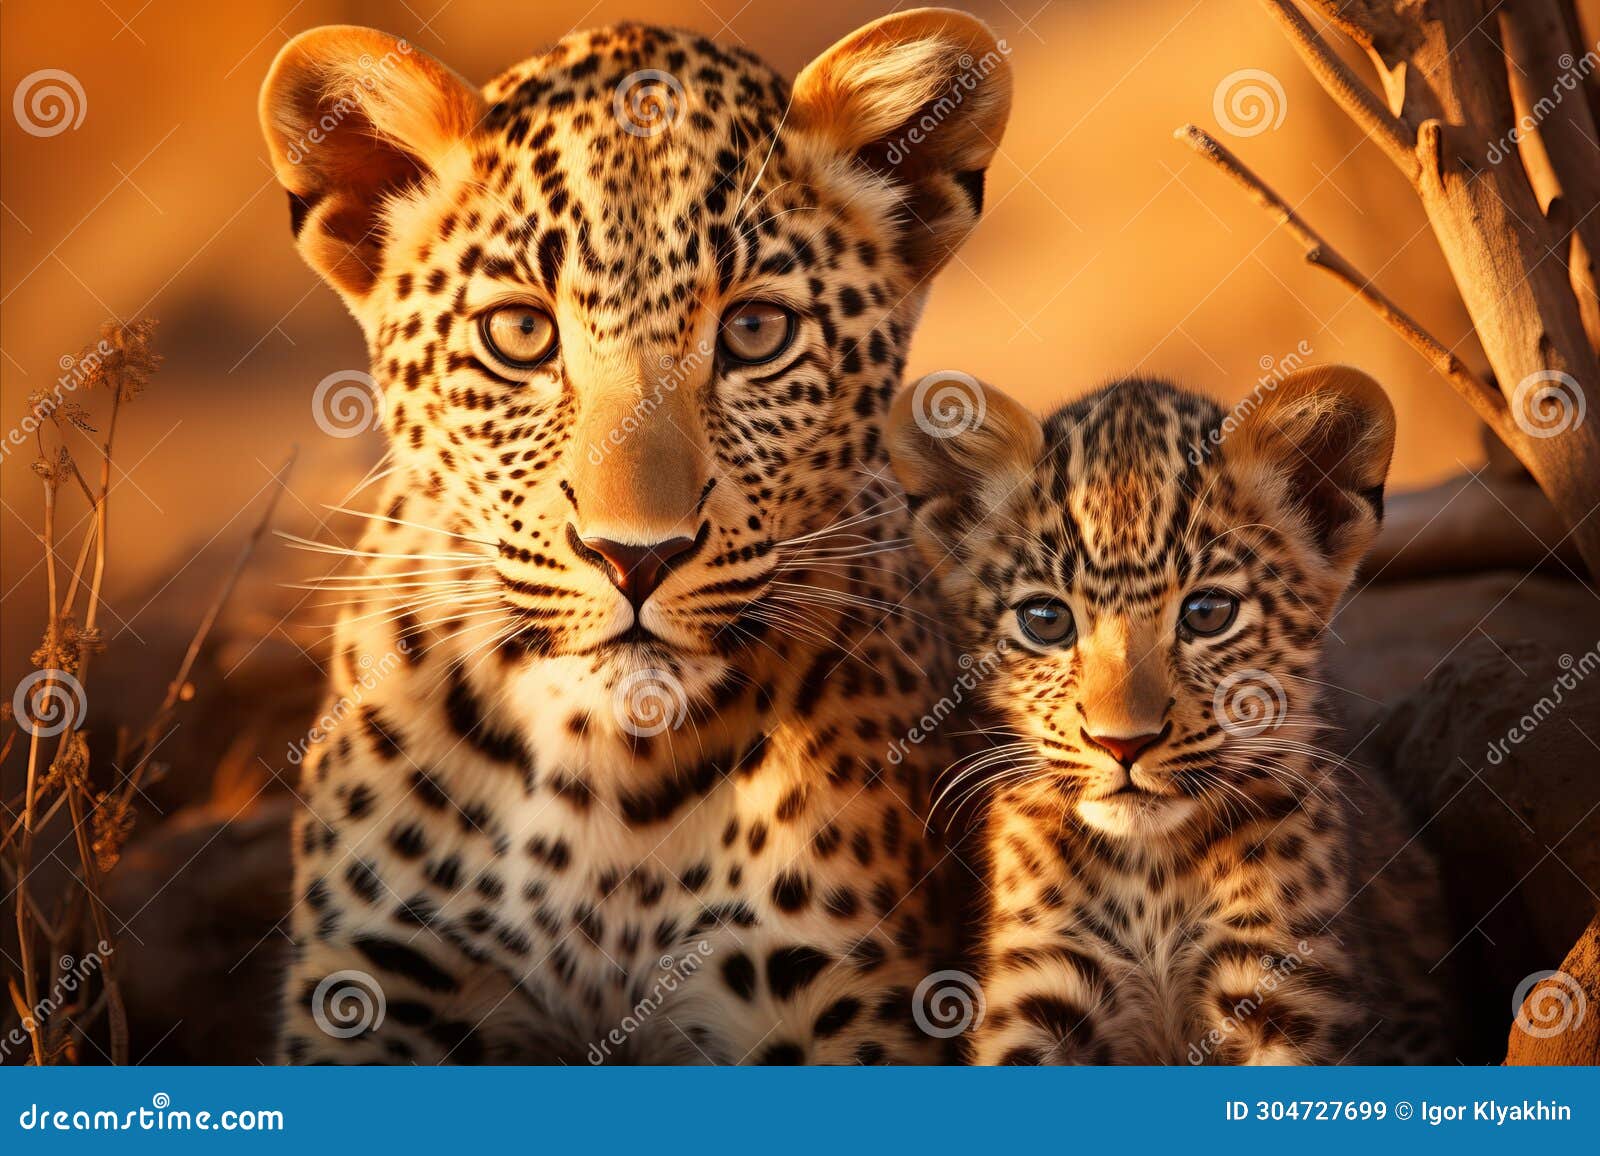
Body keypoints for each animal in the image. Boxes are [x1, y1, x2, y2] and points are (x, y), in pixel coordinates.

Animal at [886, 366, 1456, 1065]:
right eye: (1045, 620)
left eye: (1207, 614)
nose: (1122, 744)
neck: (1147, 873)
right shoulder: (1039, 987)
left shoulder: (1286, 987)